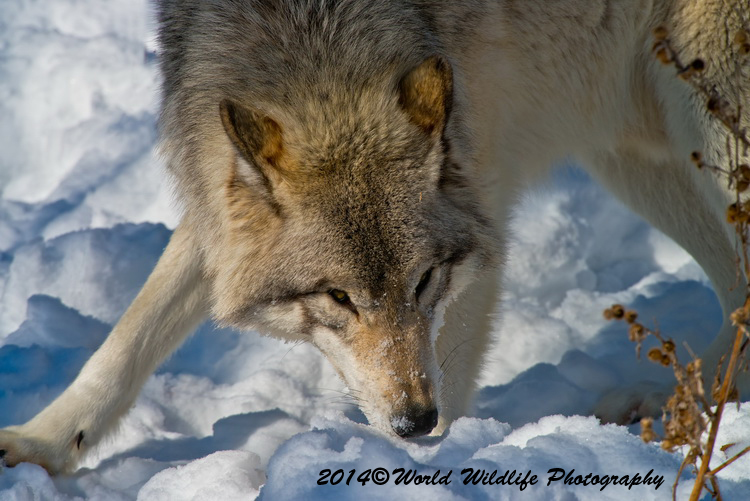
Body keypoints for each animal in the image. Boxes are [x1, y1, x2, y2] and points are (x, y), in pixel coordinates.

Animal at [1, 0, 748, 474]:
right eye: (338, 297)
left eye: (424, 280)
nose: (414, 421)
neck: (317, 48)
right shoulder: (218, 205)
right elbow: (128, 338)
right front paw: (42, 443)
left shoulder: (482, 208)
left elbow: (453, 368)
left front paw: (426, 463)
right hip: (637, 153)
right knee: (737, 288)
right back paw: (678, 406)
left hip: (709, 125)